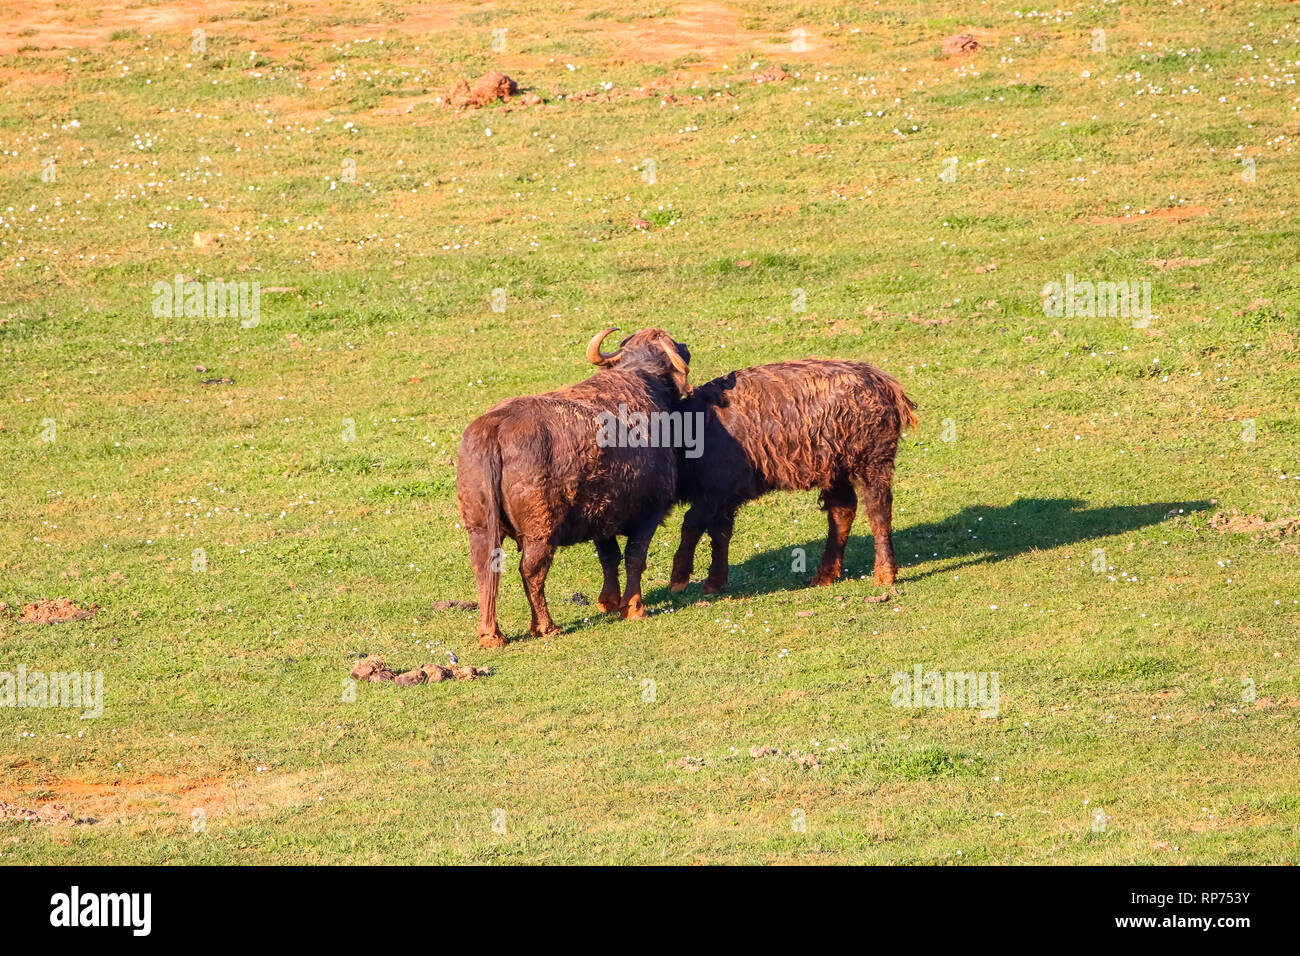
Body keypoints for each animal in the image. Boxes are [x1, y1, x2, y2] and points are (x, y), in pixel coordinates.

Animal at [456, 327, 692, 647]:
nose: (686, 345)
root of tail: (495, 427)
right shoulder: (649, 514)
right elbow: (634, 557)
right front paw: (633, 607)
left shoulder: (602, 518)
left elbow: (609, 557)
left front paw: (609, 601)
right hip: (540, 533)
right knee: (531, 571)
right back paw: (546, 626)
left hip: (480, 527)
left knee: (485, 568)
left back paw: (491, 634)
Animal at [668, 360, 915, 594]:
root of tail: (882, 382)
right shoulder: (724, 500)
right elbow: (719, 534)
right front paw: (713, 583)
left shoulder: (714, 493)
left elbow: (691, 524)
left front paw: (678, 580)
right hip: (835, 473)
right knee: (842, 512)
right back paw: (824, 576)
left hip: (873, 466)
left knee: (879, 513)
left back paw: (884, 575)